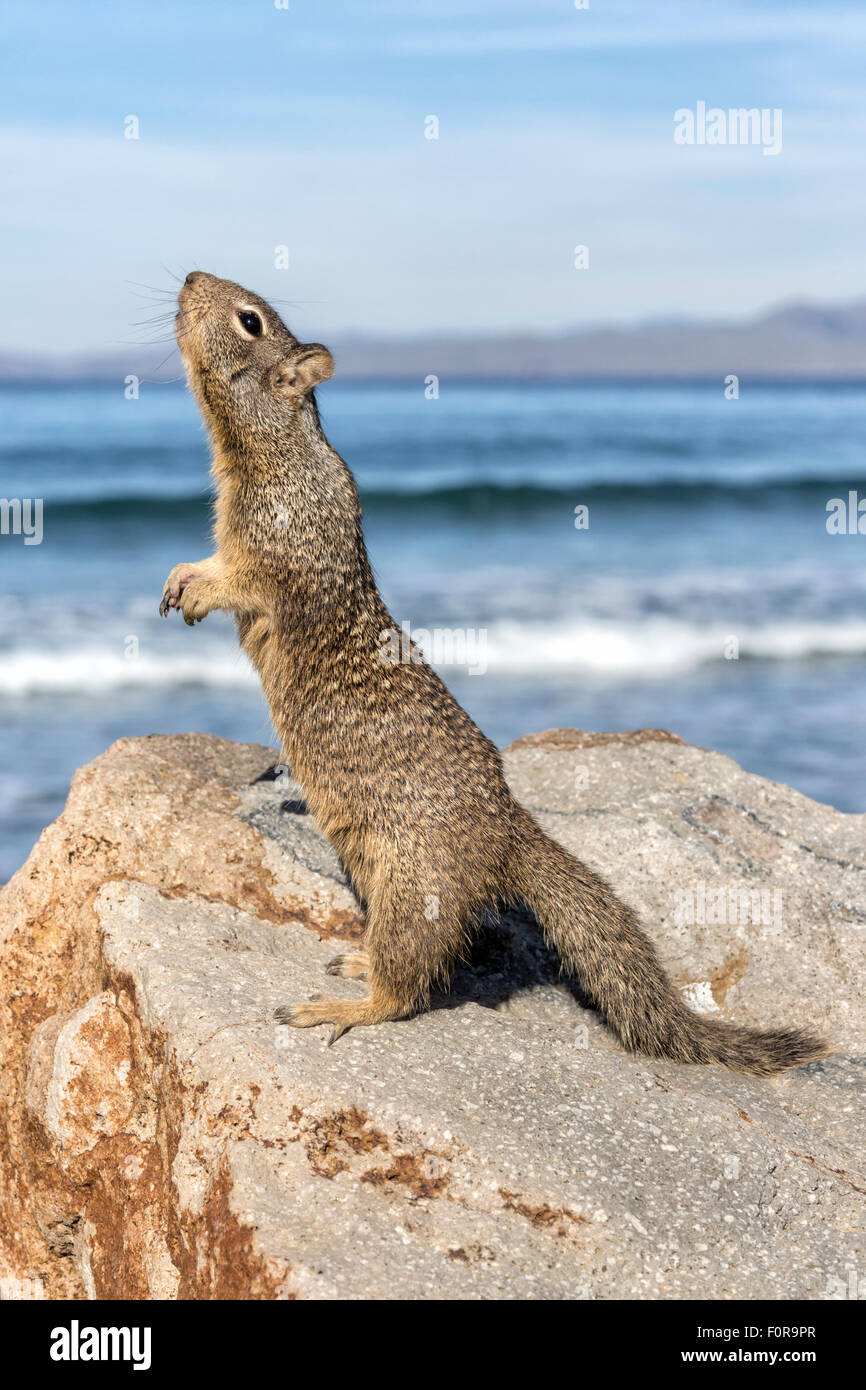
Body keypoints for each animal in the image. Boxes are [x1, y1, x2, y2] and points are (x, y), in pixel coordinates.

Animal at [161, 270, 830, 1075]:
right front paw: (177, 578)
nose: (190, 275)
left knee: (408, 988)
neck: (275, 448)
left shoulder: (278, 548)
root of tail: (510, 833)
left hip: (413, 885)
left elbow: (242, 580)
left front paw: (197, 592)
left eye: (250, 321)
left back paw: (345, 1002)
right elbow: (206, 563)